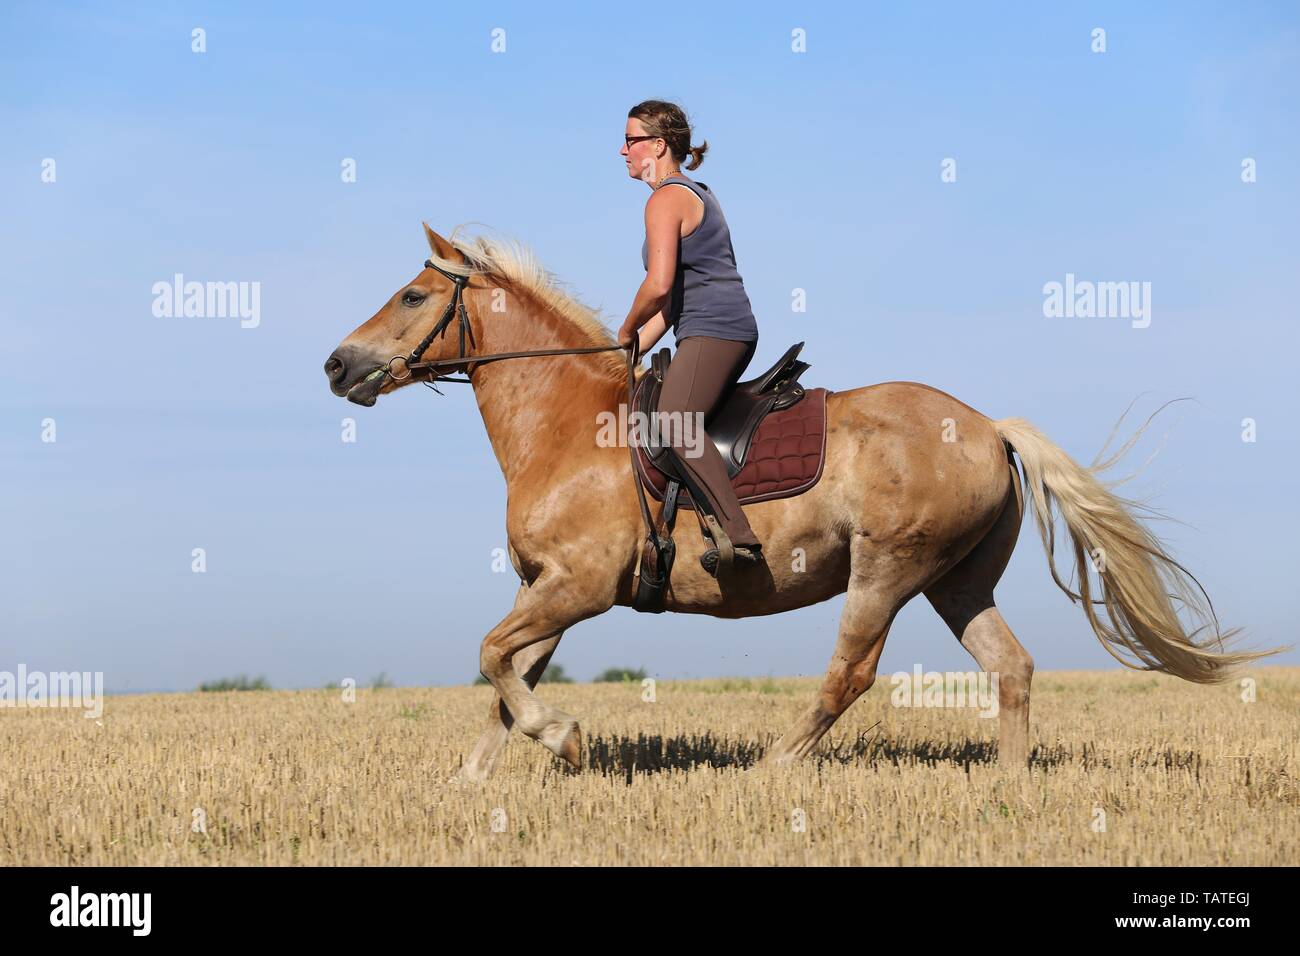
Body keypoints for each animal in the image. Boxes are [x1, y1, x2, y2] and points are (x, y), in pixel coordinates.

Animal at [324, 224, 1275, 782]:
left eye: (413, 295)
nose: (336, 365)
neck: (565, 426)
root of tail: (986, 425)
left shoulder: (577, 587)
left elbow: (493, 657)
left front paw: (563, 740)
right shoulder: (543, 587)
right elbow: (505, 675)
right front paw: (472, 784)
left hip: (888, 570)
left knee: (849, 673)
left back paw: (770, 771)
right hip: (958, 581)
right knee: (1011, 667)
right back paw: (1007, 791)